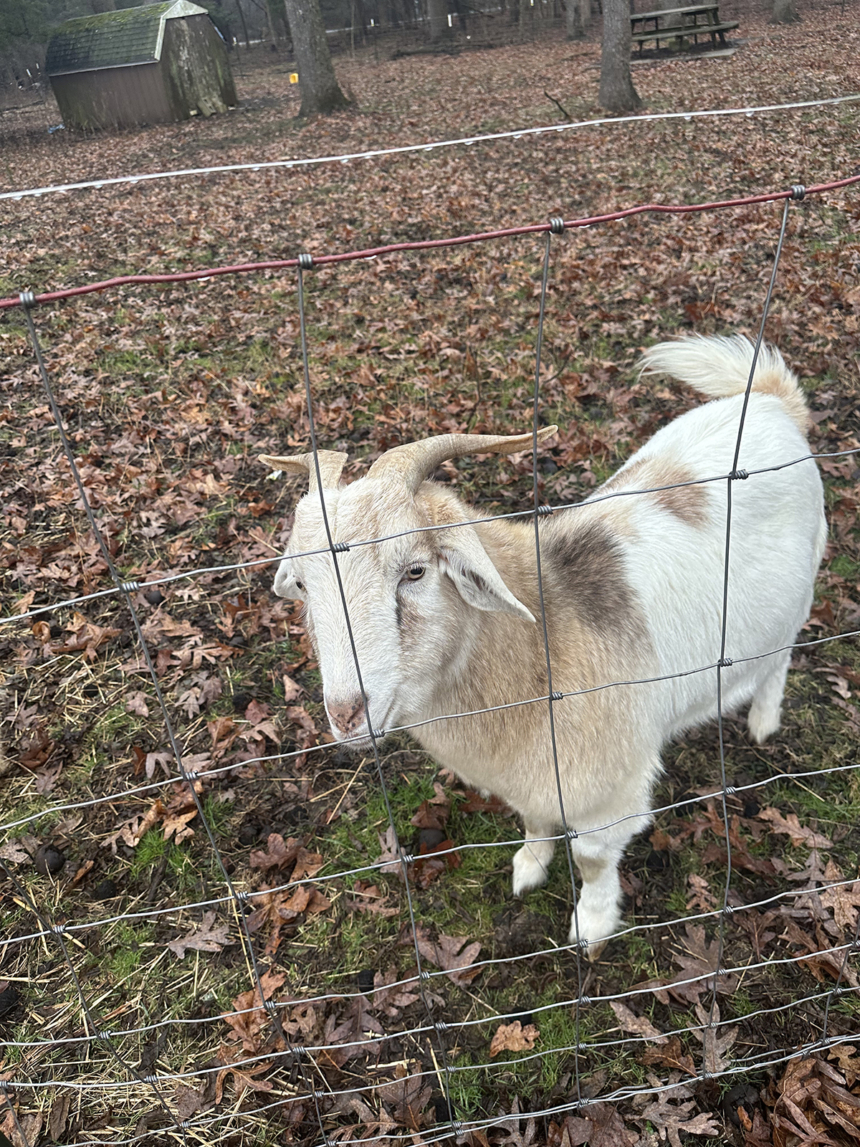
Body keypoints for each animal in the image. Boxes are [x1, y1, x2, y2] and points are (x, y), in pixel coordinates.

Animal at [261, 334, 826, 955]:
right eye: (302, 585)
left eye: (415, 570)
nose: (346, 711)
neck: (542, 638)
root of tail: (774, 402)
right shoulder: (531, 776)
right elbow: (534, 820)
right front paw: (530, 865)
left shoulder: (609, 792)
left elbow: (593, 860)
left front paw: (593, 925)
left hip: (799, 593)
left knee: (781, 658)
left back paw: (764, 720)